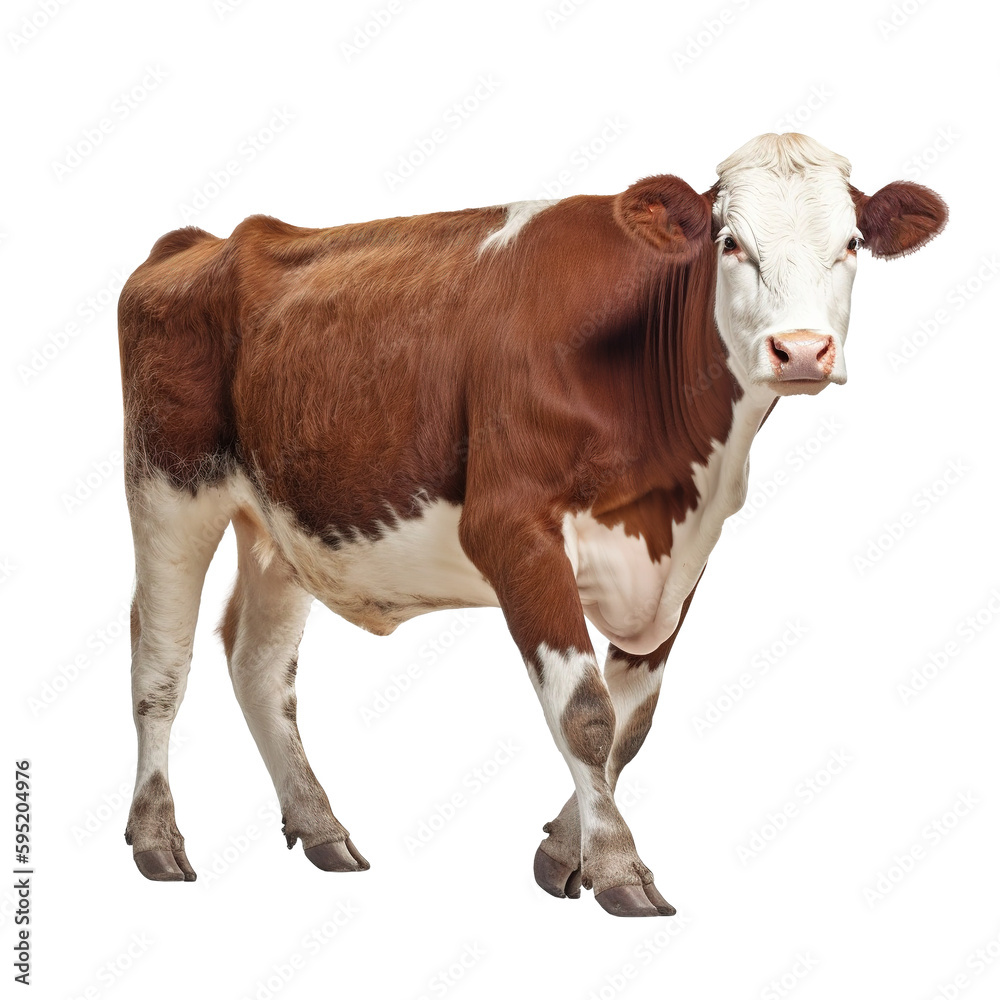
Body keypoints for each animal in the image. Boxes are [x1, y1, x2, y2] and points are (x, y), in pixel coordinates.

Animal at [118, 132, 947, 916]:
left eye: (851, 242)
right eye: (730, 242)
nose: (801, 350)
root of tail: (201, 239)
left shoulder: (686, 551)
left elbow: (631, 721)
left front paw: (565, 851)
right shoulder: (511, 528)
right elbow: (586, 714)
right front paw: (619, 869)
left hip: (283, 521)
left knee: (258, 666)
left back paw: (321, 828)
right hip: (167, 485)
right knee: (161, 662)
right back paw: (156, 838)